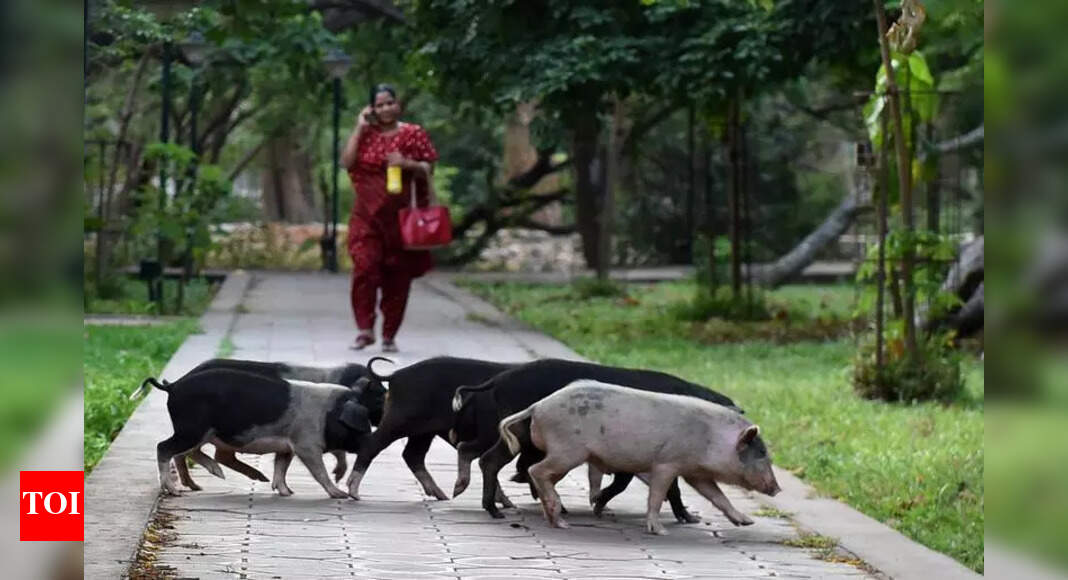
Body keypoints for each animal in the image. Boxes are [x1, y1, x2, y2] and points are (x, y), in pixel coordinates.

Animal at [129, 358, 383, 492]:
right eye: (380, 394)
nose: (371, 442)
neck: (328, 412)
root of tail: (173, 386)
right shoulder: (306, 442)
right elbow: (319, 469)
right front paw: (338, 491)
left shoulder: (289, 444)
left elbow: (281, 466)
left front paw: (286, 492)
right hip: (192, 429)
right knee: (165, 447)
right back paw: (175, 489)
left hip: (202, 432)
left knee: (200, 454)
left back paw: (213, 480)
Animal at [498, 380, 780, 534]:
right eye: (761, 453)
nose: (777, 489)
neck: (711, 439)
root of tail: (537, 406)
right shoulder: (666, 463)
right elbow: (657, 495)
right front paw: (660, 531)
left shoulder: (695, 472)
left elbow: (717, 497)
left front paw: (747, 522)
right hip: (568, 450)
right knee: (536, 470)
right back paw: (561, 521)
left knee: (541, 474)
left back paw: (556, 518)